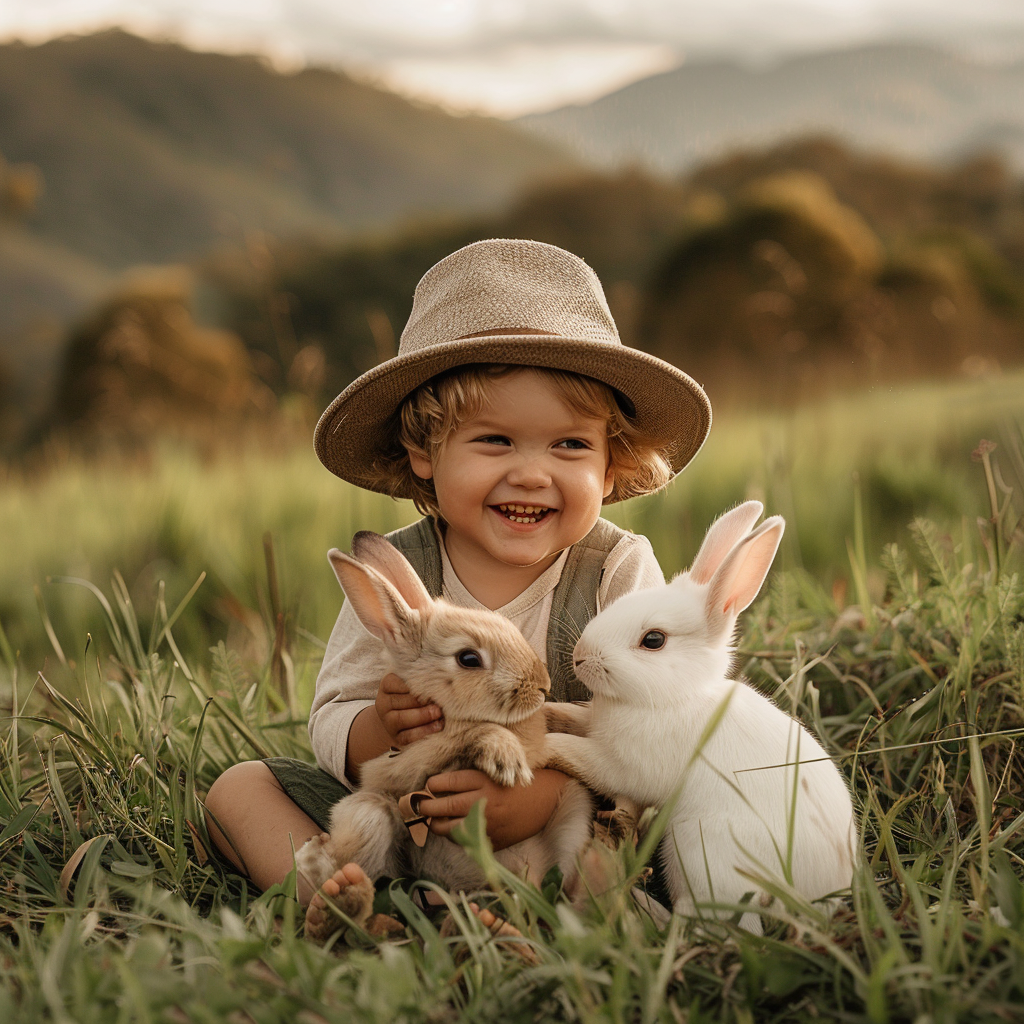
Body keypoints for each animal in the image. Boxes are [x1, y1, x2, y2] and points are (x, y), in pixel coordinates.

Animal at [295, 530, 594, 915]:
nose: (542, 685)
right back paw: (317, 868)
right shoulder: (412, 759)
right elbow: (480, 732)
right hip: (370, 816)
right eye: (468, 659)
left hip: (575, 814)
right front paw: (507, 762)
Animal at [544, 501, 858, 934]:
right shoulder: (594, 724)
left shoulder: (622, 767)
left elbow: (576, 753)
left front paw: (536, 746)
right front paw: (543, 713)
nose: (580, 656)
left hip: (700, 851)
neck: (676, 698)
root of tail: (819, 901)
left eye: (653, 640)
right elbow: (574, 717)